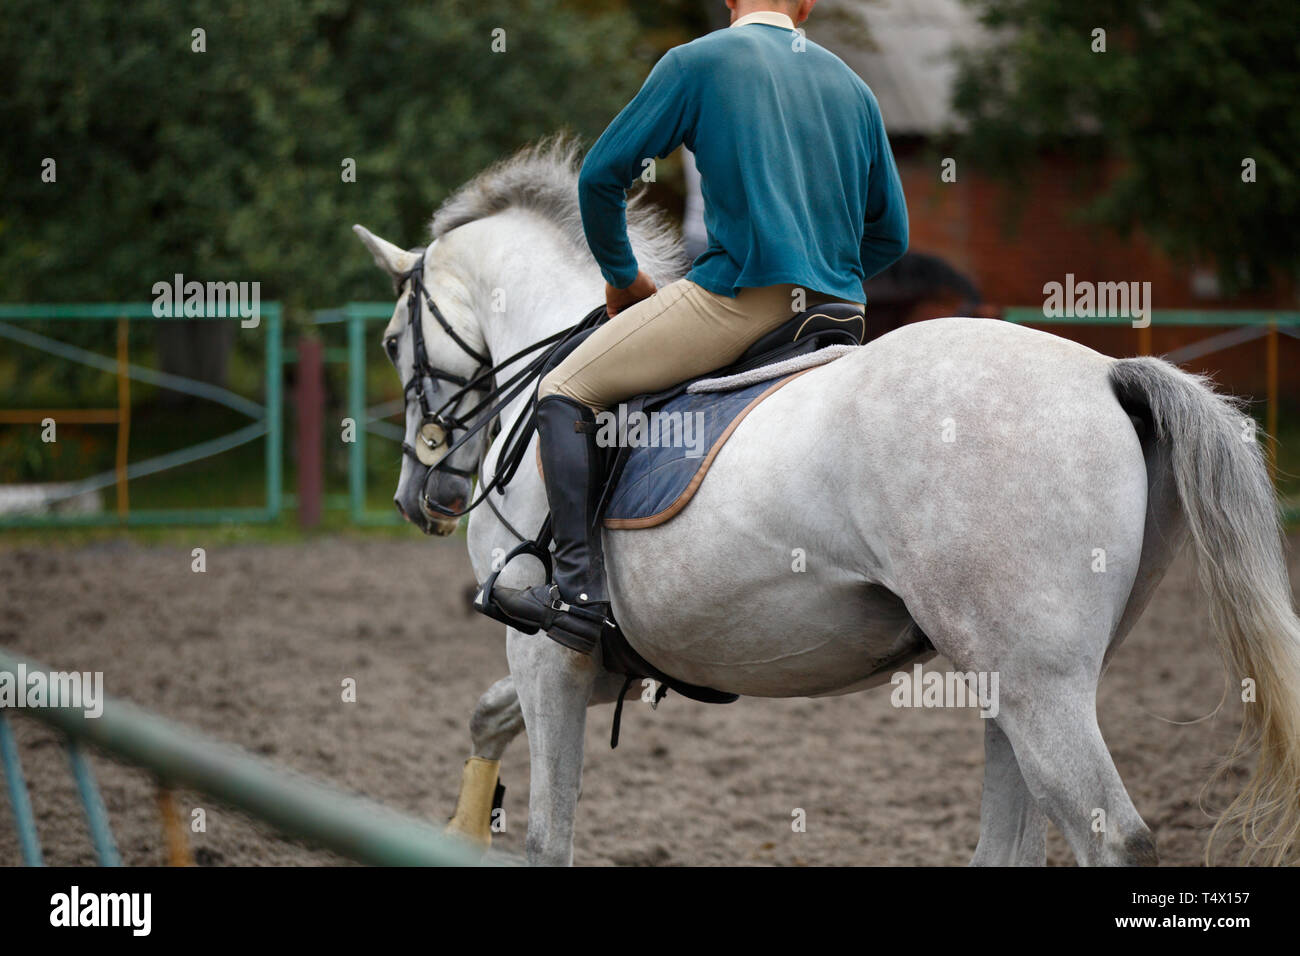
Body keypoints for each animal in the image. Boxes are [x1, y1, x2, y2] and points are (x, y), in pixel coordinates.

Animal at [354, 137, 1300, 866]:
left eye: (394, 341)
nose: (422, 496)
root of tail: (1106, 373)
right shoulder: (608, 659)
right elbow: (485, 719)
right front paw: (458, 829)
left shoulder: (548, 650)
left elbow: (548, 836)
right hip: (1016, 681)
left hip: (1039, 685)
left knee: (1111, 838)